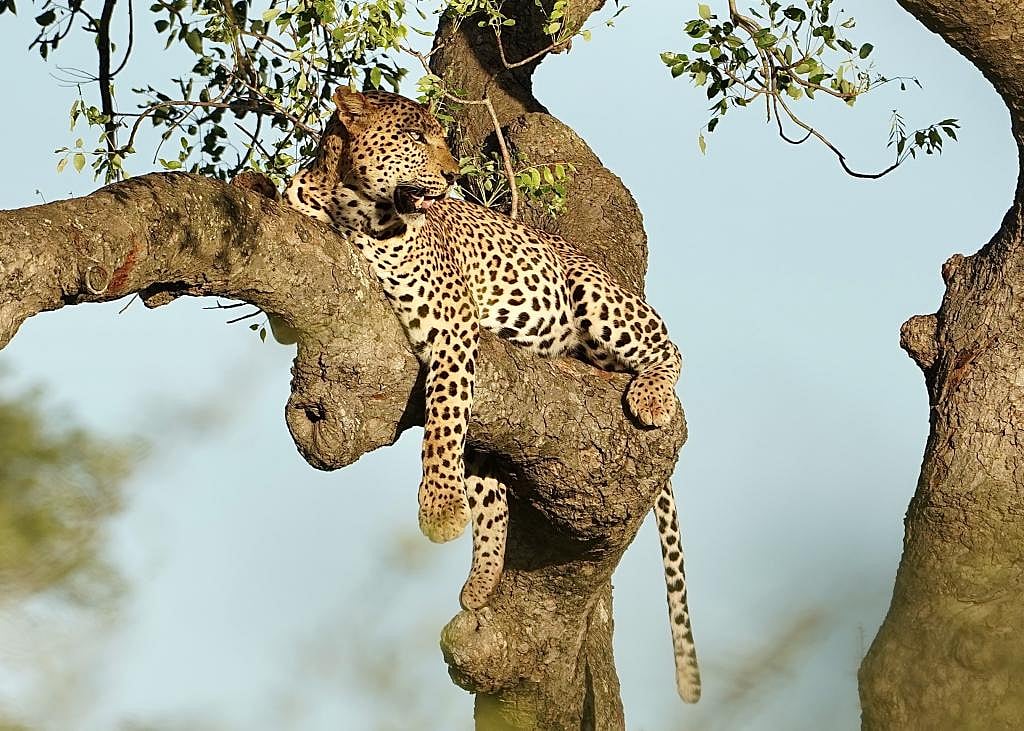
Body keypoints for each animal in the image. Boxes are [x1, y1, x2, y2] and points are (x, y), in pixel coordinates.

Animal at [281, 86, 701, 702]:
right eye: (415, 137)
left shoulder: (452, 323)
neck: (351, 205)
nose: (453, 177)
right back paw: (480, 584)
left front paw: (438, 509)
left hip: (596, 295)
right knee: (492, 491)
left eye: (441, 137)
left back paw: (651, 397)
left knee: (672, 348)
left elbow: (443, 420)